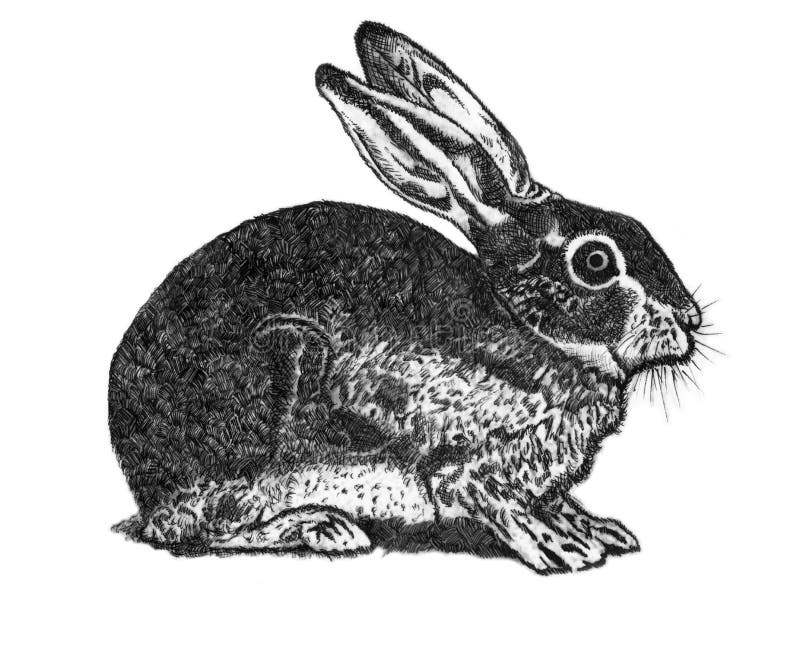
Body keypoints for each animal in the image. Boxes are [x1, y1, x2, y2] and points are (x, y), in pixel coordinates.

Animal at [109, 21, 703, 572]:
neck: (530, 327)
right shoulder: (465, 464)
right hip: (272, 384)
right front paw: (560, 549)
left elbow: (555, 499)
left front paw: (598, 530)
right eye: (595, 262)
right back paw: (322, 527)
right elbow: (494, 502)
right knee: (195, 529)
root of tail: (140, 472)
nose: (690, 319)